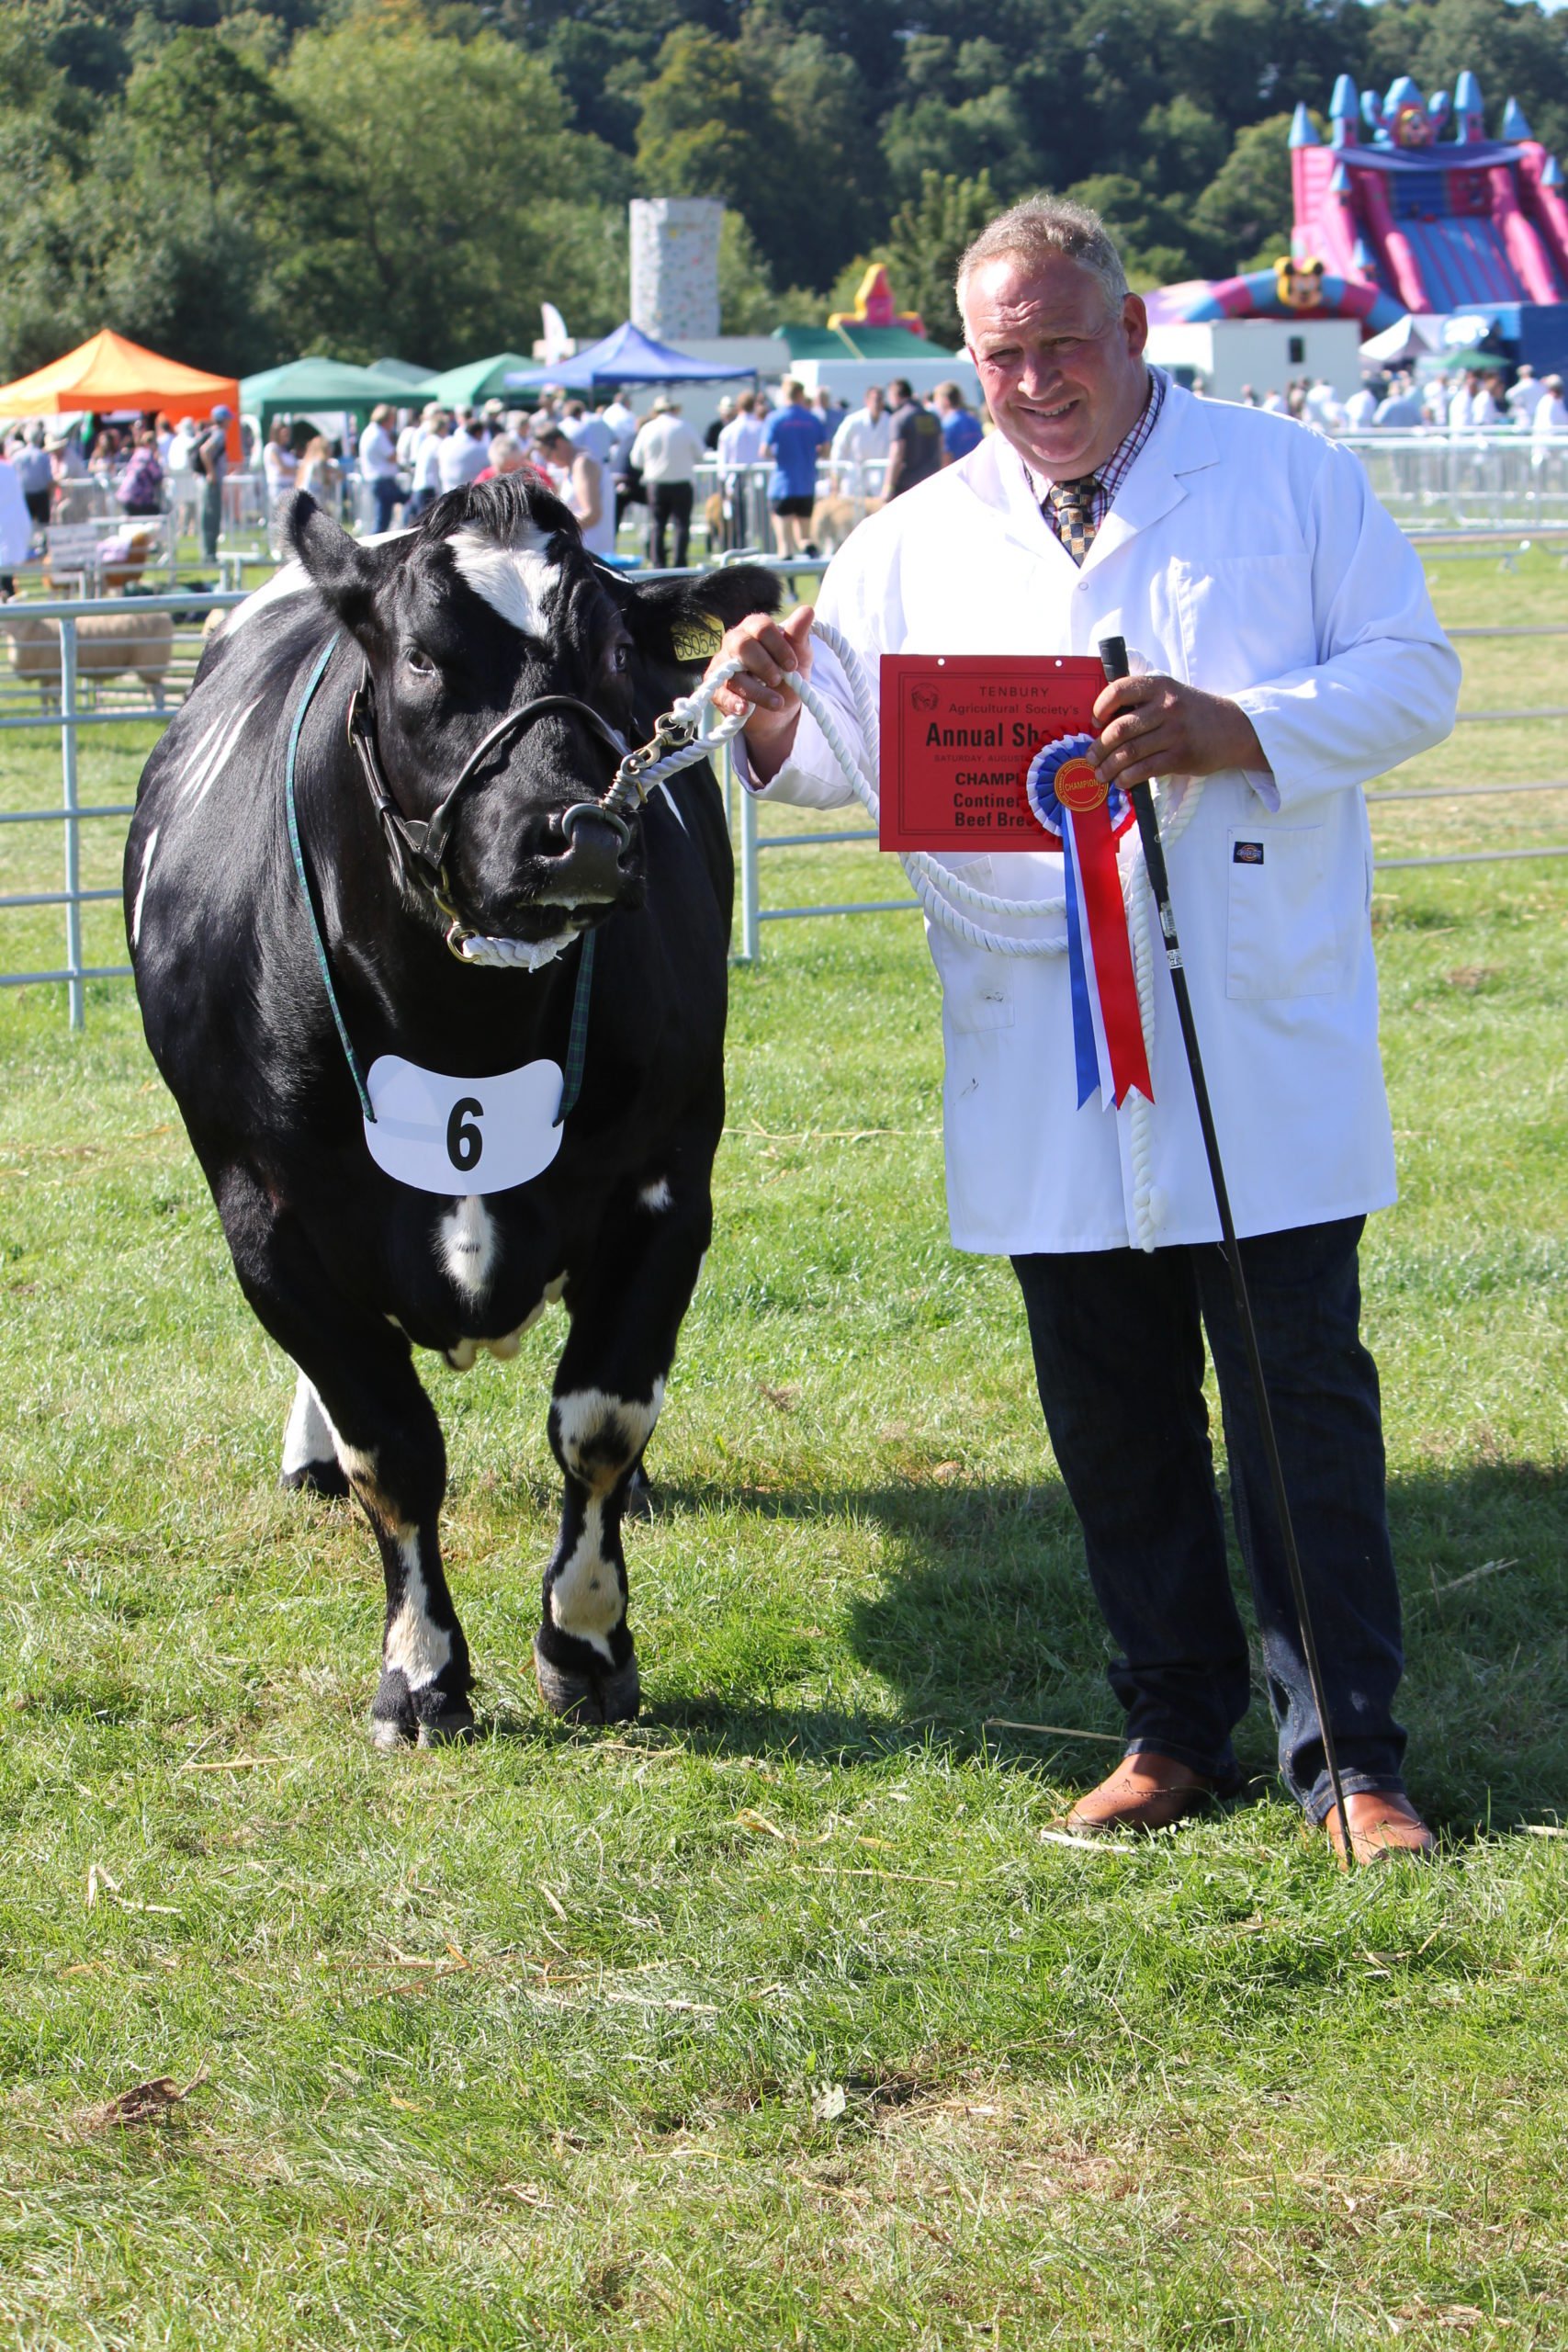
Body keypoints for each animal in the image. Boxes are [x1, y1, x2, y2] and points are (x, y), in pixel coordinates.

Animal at [125, 478, 777, 1746]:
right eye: (423, 657)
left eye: (617, 651)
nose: (581, 832)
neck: (465, 1016)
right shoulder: (267, 1214)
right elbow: (392, 1446)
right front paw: (421, 1673)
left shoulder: (669, 1181)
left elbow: (601, 1418)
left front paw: (585, 1645)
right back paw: (310, 1459)